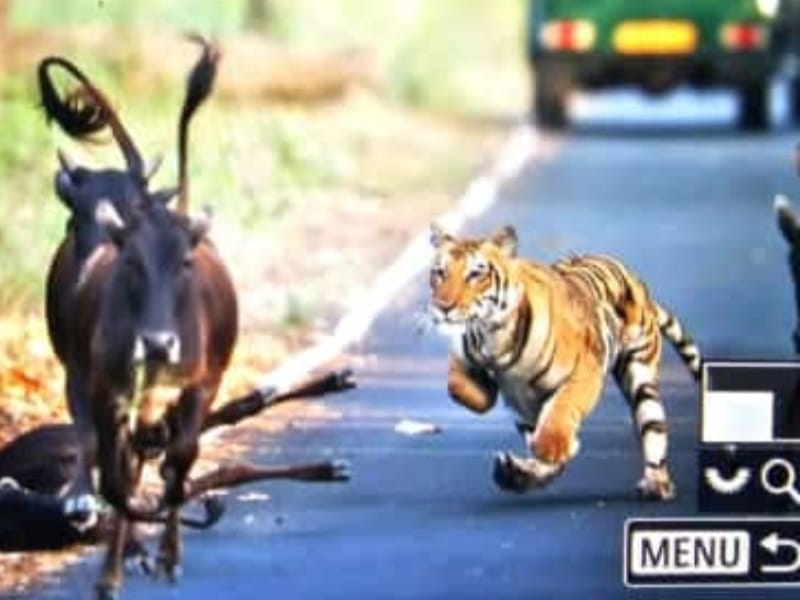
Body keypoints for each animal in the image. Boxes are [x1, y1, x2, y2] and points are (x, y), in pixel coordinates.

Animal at [426, 223, 701, 500]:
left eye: (474, 274)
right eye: (439, 273)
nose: (442, 307)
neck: (495, 338)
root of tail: (635, 279)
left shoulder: (585, 372)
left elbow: (562, 407)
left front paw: (553, 445)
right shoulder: (464, 356)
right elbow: (459, 389)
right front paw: (487, 390)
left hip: (641, 374)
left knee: (652, 425)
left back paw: (656, 483)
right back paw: (517, 474)